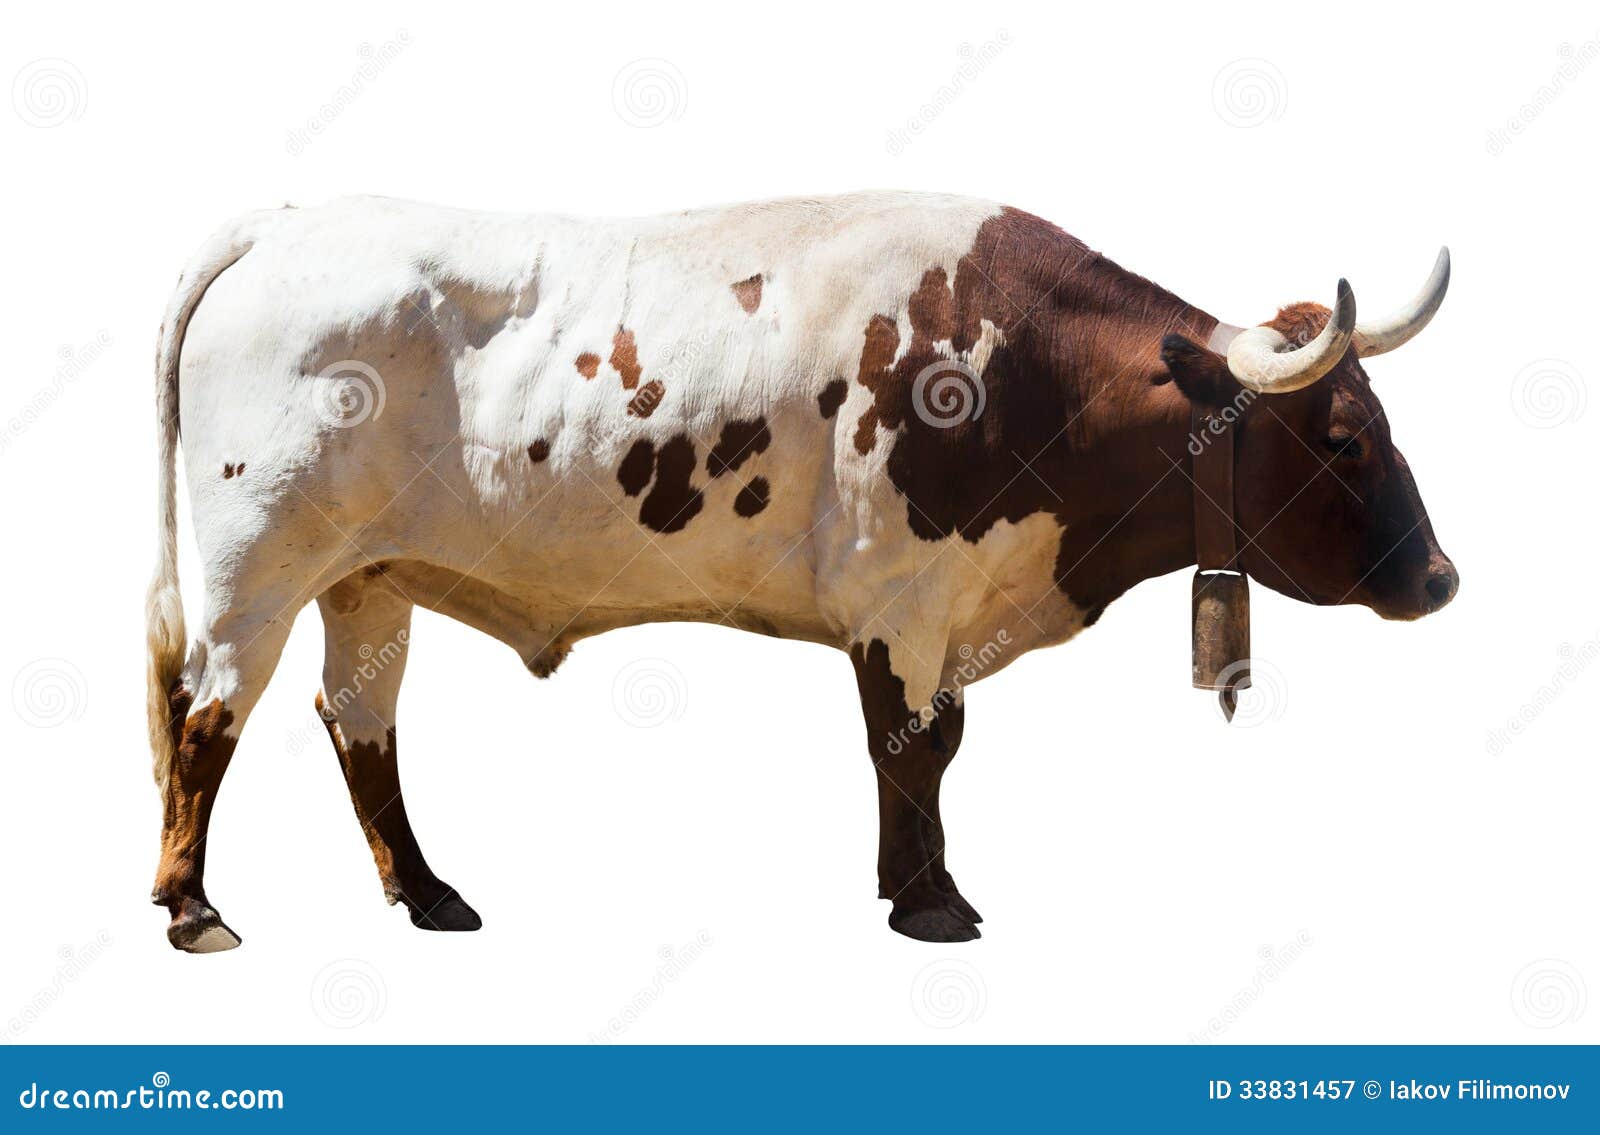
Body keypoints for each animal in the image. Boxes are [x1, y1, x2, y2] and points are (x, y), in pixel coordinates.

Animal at [145, 192, 1457, 951]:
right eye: (1342, 437)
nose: (1440, 580)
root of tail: (286, 225)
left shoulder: (941, 610)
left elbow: (930, 744)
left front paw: (907, 882)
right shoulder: (900, 596)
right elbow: (913, 744)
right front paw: (929, 903)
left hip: (367, 574)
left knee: (357, 718)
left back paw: (425, 893)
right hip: (255, 566)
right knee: (206, 714)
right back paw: (194, 907)